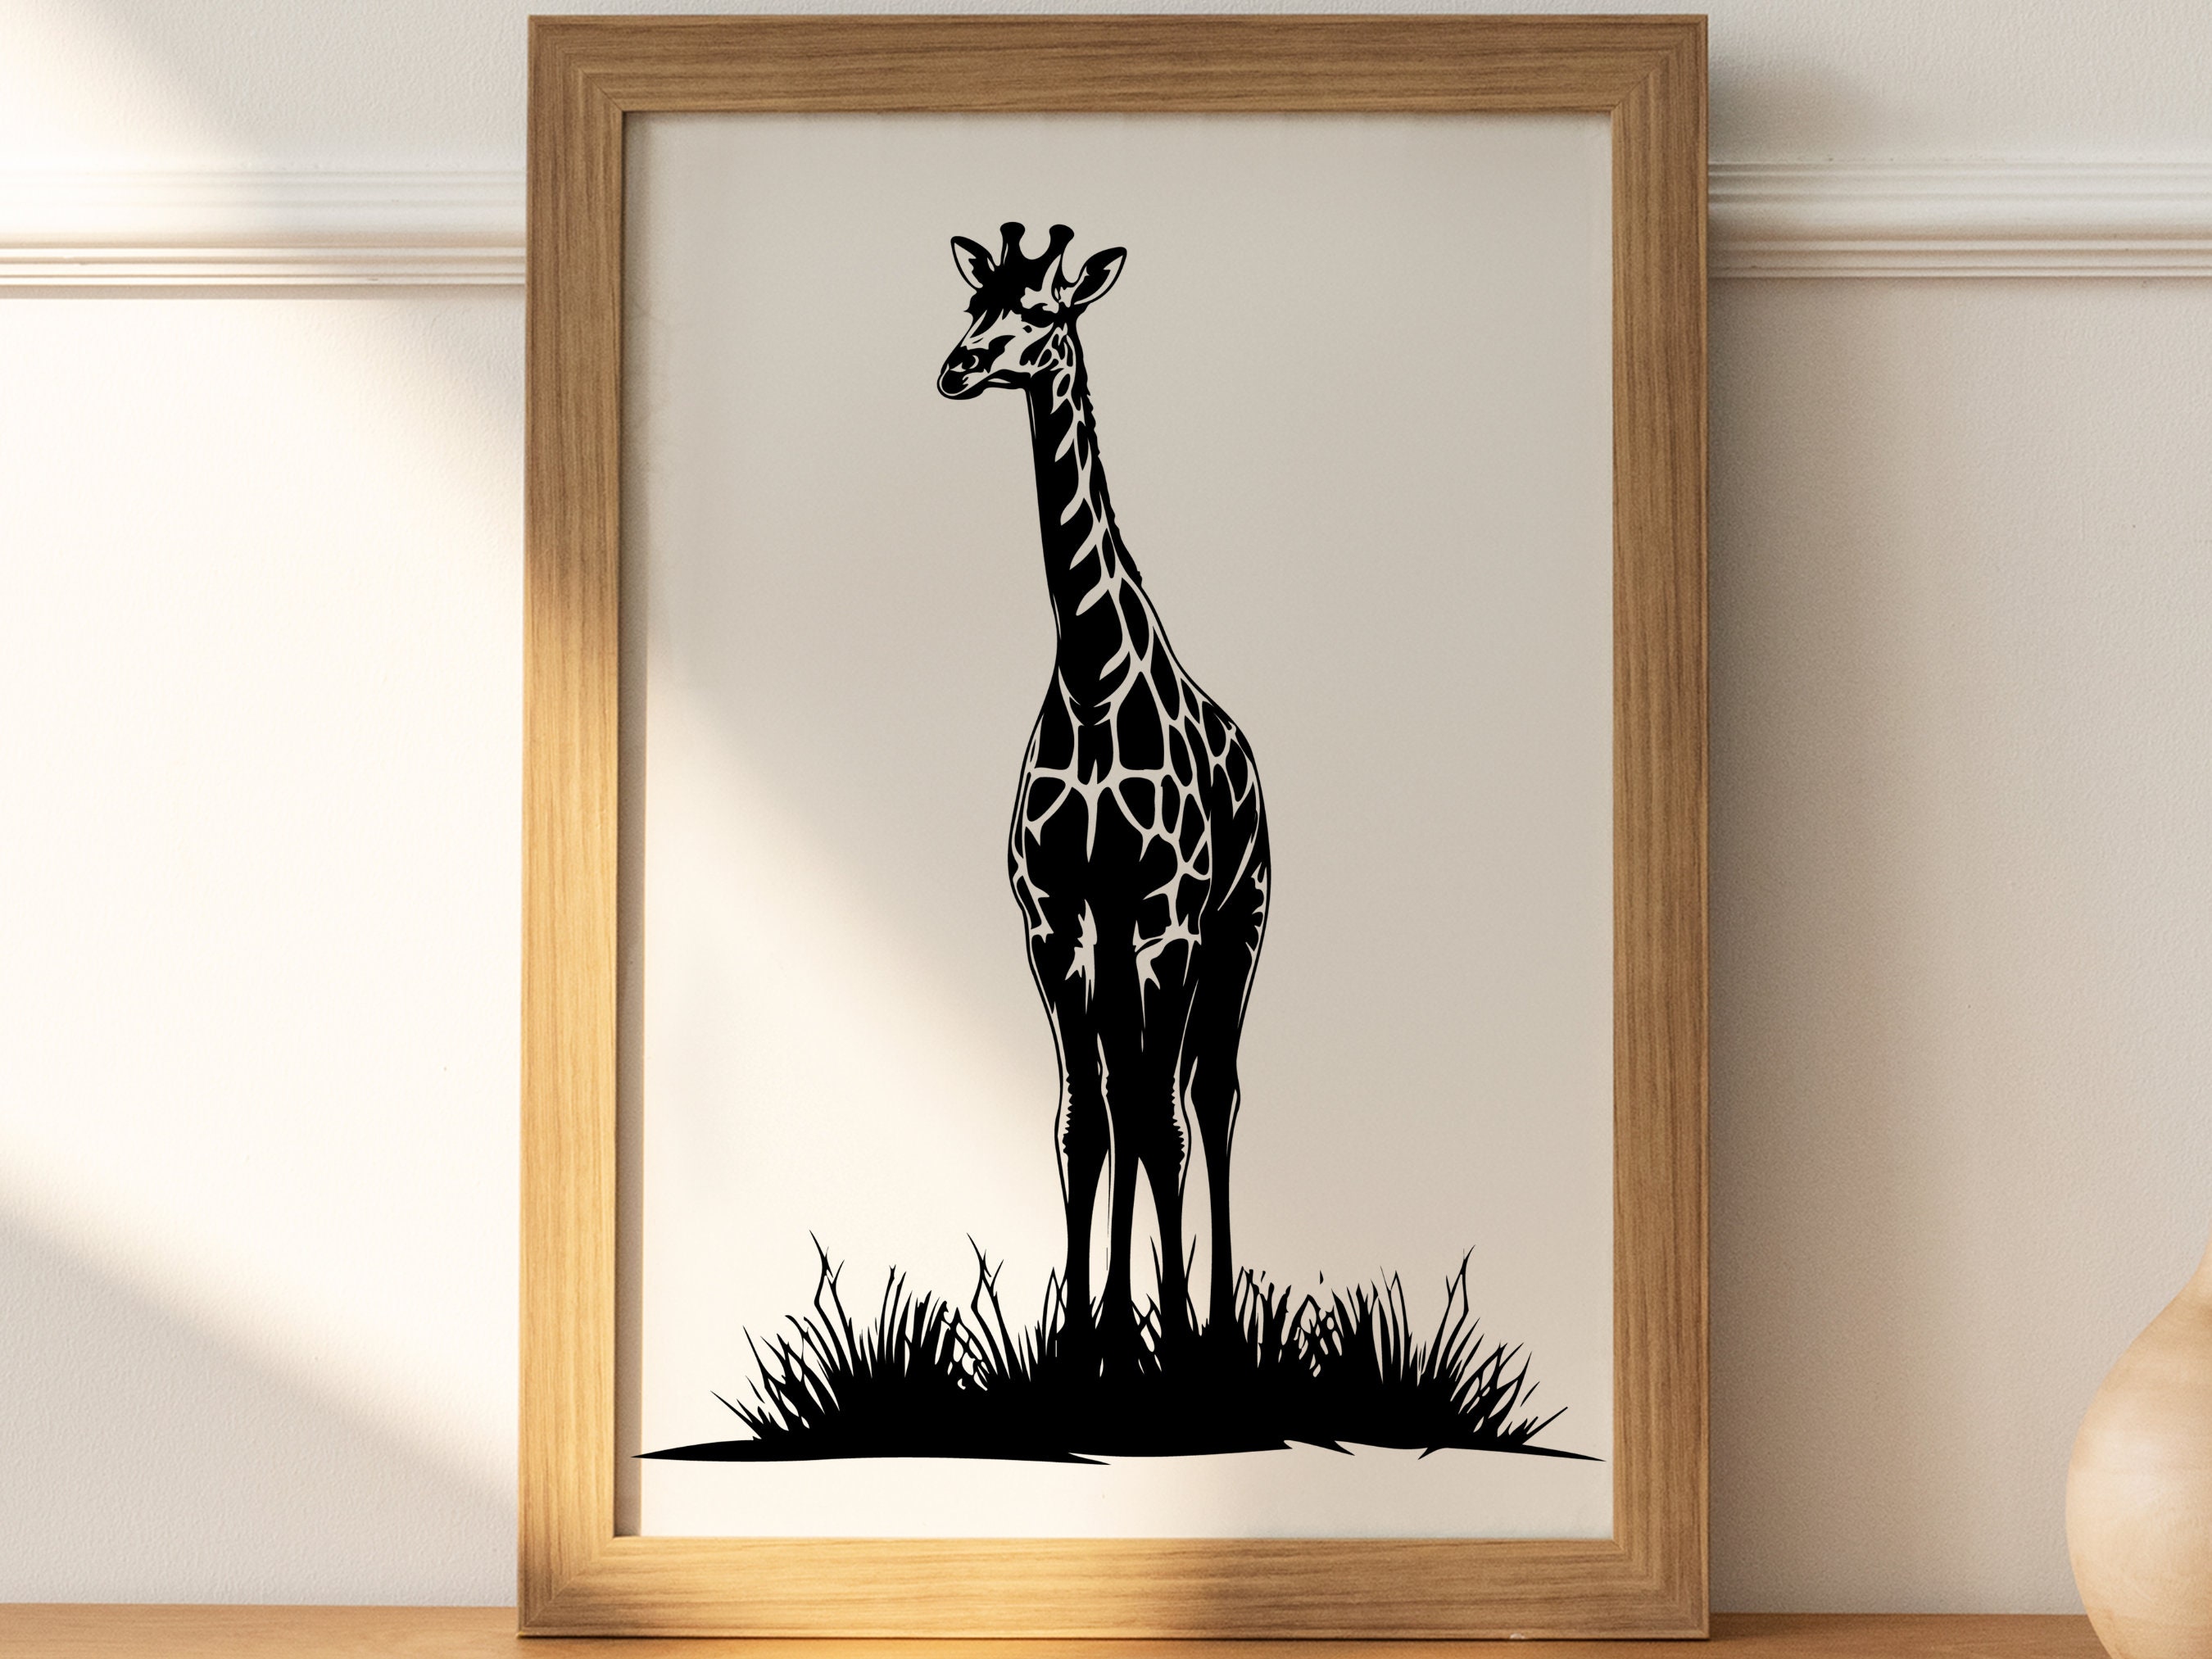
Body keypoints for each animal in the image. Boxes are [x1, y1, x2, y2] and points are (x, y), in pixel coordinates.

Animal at [938, 222, 1270, 1363]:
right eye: (973, 304)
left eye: (1043, 313)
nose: (956, 370)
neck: (1090, 679)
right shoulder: (1055, 917)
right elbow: (1085, 1122)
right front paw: (1089, 1339)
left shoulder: (1171, 917)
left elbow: (1164, 1120)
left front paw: (1175, 1337)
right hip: (1122, 941)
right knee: (1130, 1089)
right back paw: (1127, 1322)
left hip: (1237, 925)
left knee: (1208, 1093)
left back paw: (1211, 1324)